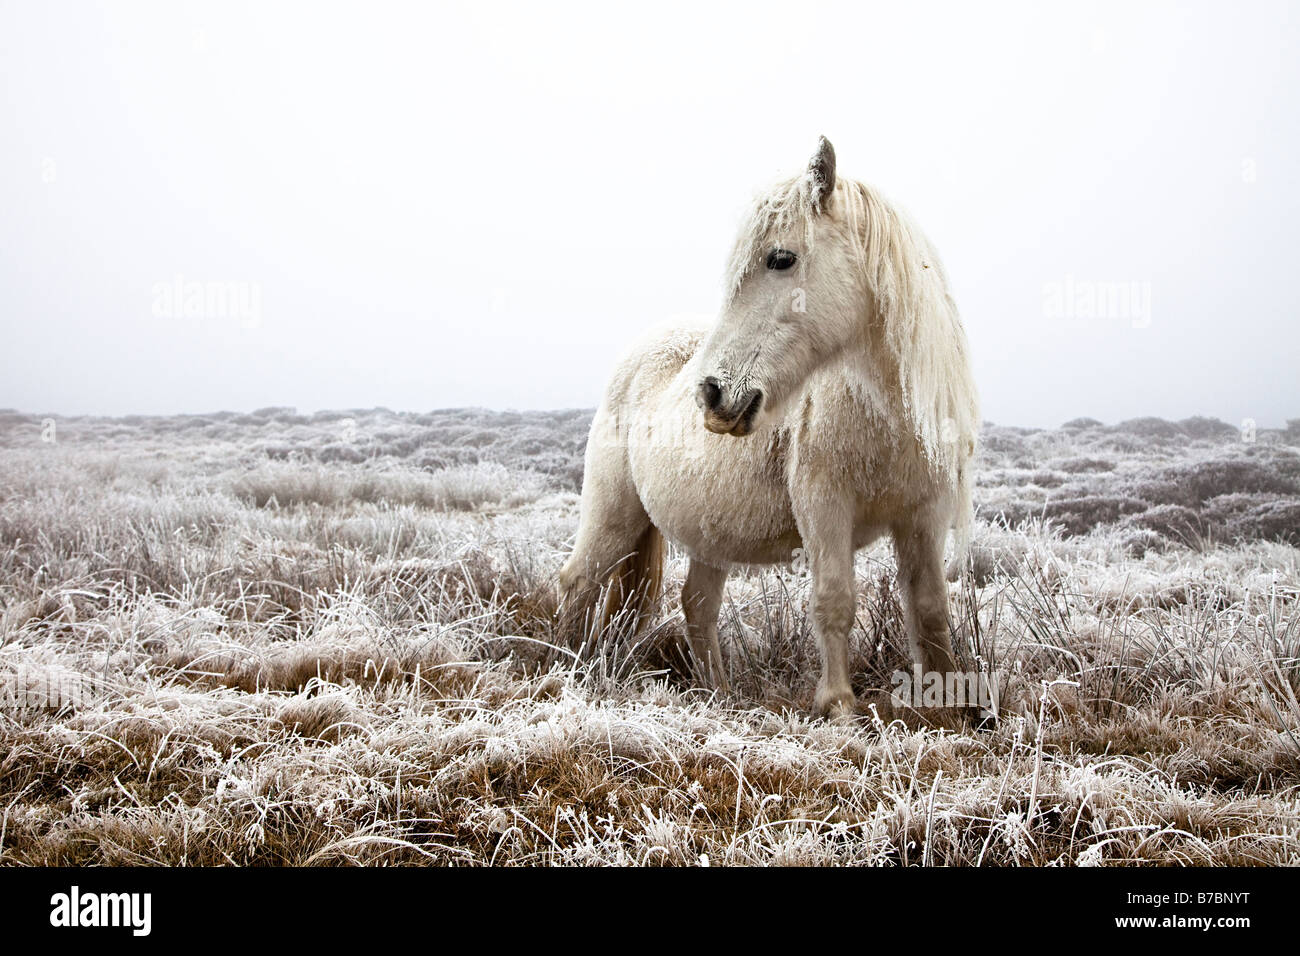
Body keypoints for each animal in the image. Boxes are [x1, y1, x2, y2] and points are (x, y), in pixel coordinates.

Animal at [558, 137, 979, 720]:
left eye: (781, 258)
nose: (713, 394)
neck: (886, 418)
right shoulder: (825, 508)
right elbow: (834, 600)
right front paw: (838, 706)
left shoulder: (925, 516)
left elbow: (931, 609)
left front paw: (949, 708)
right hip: (613, 515)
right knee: (578, 581)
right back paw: (567, 669)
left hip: (708, 536)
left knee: (697, 606)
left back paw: (717, 694)